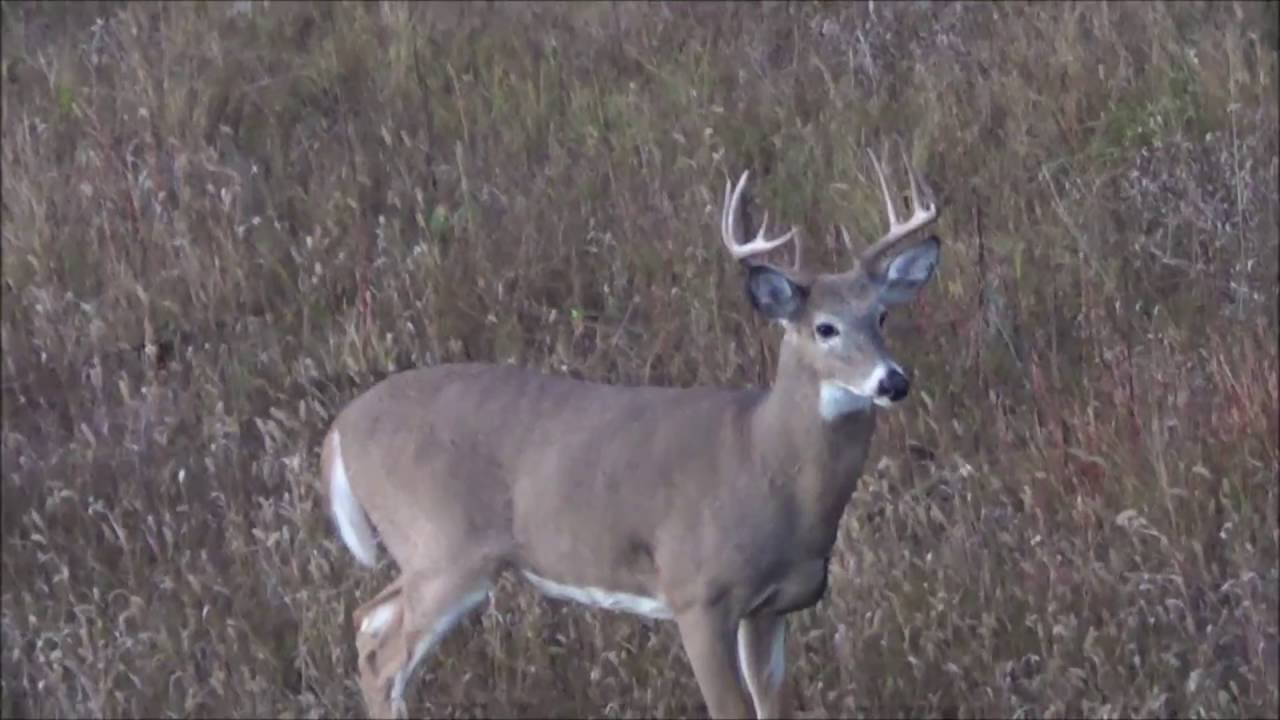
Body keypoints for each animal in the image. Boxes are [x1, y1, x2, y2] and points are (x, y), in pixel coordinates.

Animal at [321, 146, 943, 719]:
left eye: (881, 316)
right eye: (824, 328)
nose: (893, 381)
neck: (767, 461)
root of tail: (339, 430)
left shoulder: (770, 609)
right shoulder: (698, 592)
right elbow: (730, 710)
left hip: (425, 555)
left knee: (366, 621)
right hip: (444, 547)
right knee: (383, 659)